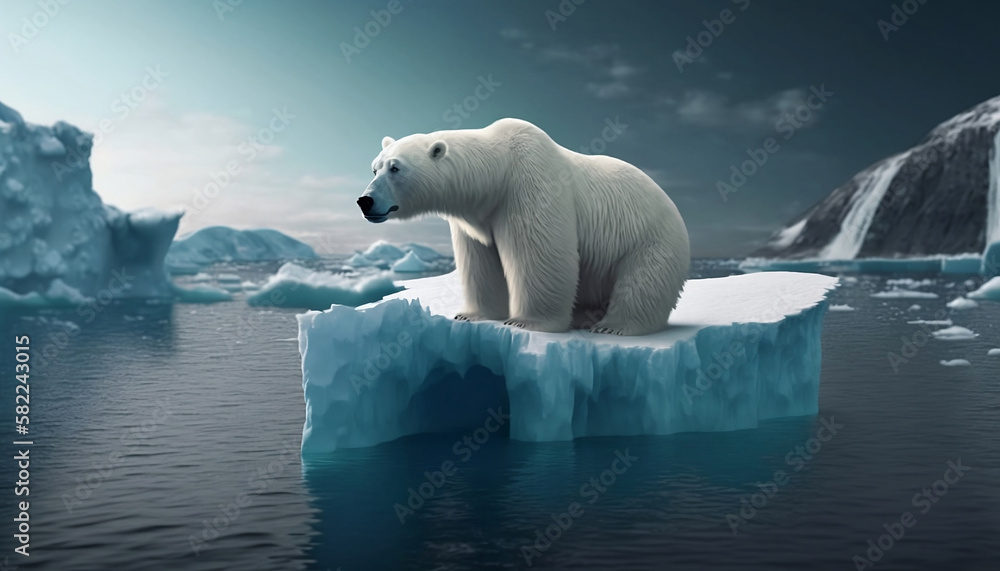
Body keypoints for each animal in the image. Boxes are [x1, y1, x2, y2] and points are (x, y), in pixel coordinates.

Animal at [357, 118, 690, 336]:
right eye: (375, 167)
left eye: (396, 168)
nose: (365, 201)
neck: (497, 170)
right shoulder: (475, 218)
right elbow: (480, 263)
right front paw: (471, 315)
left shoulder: (529, 186)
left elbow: (539, 256)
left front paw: (525, 322)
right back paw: (584, 318)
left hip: (650, 238)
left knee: (642, 283)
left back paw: (613, 326)